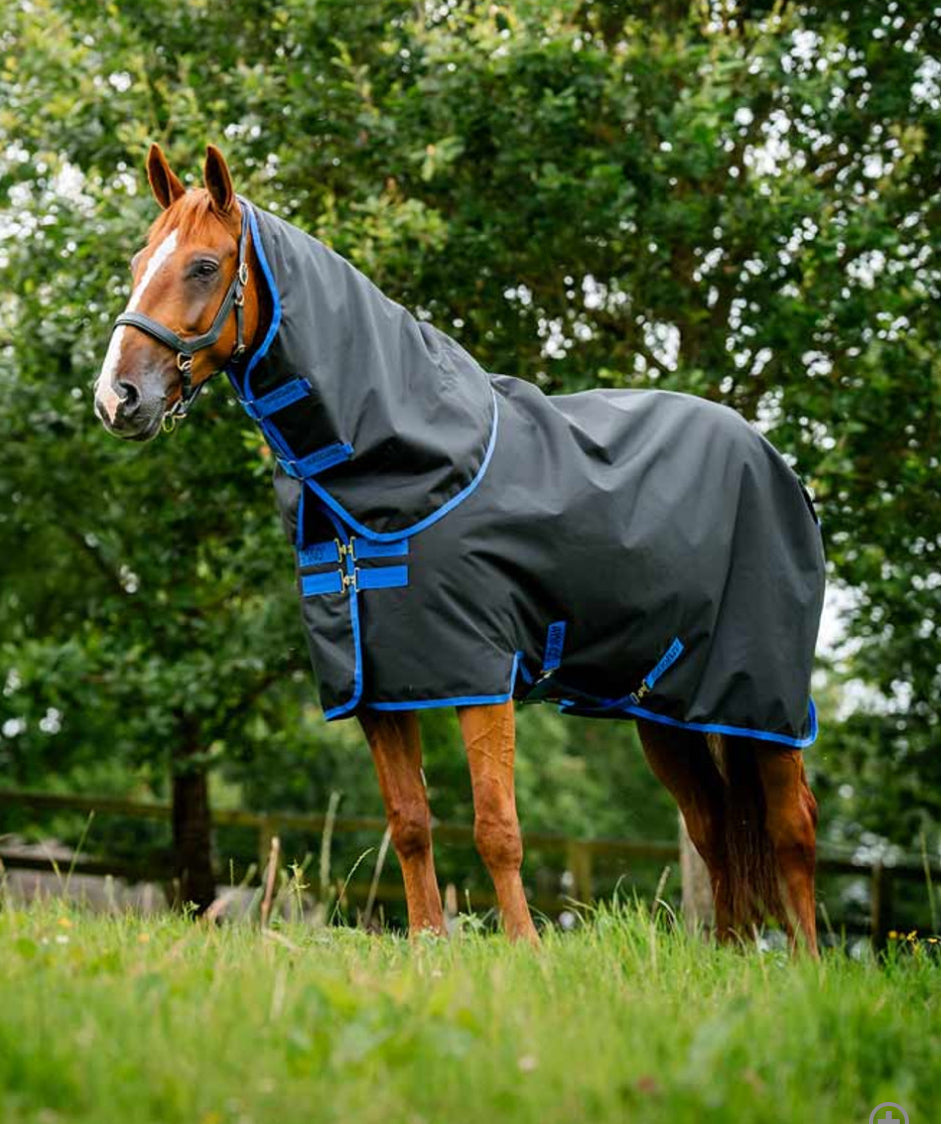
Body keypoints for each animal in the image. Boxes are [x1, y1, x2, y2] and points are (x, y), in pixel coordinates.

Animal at [95, 144, 824, 954]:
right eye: (137, 263)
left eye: (201, 266)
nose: (117, 397)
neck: (402, 458)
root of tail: (774, 460)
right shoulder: (378, 683)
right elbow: (410, 823)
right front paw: (428, 944)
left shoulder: (479, 672)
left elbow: (496, 826)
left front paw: (524, 948)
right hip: (670, 709)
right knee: (713, 826)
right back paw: (731, 953)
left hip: (762, 696)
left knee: (791, 827)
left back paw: (806, 963)